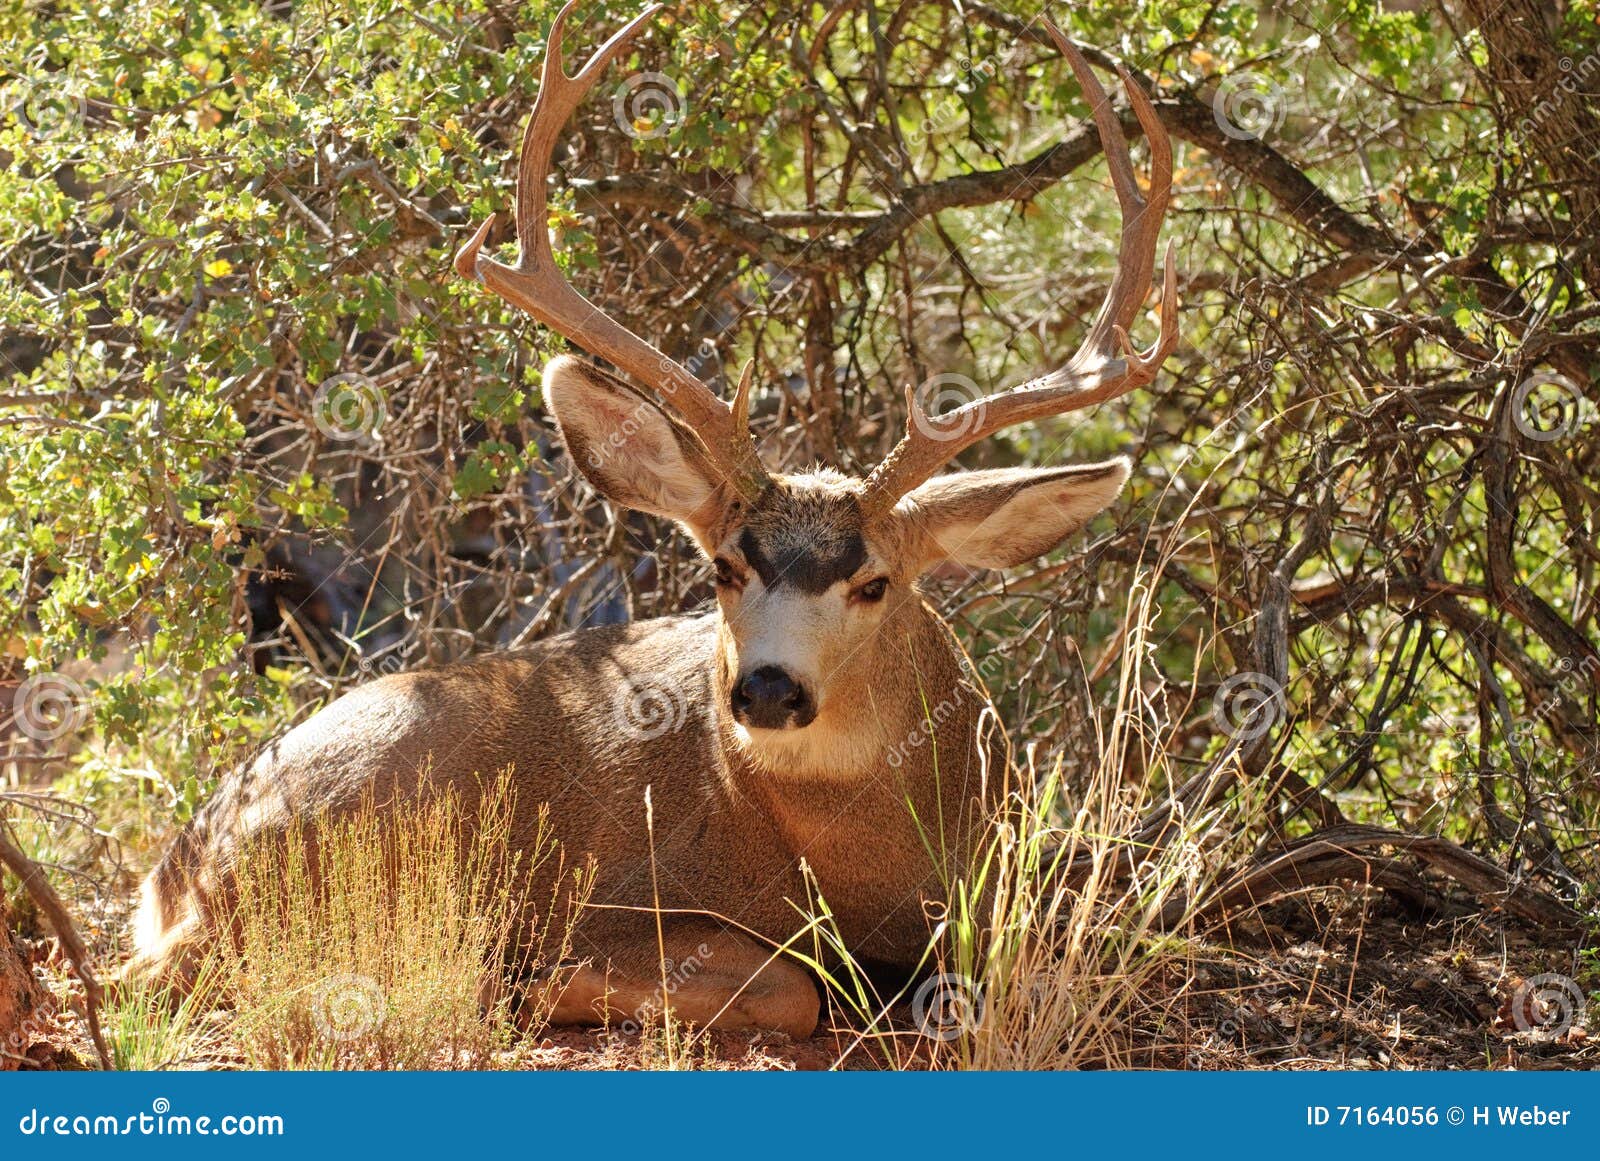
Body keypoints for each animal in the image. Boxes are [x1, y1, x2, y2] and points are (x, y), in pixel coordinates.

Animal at [124, 3, 1176, 1039]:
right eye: (722, 569)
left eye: (875, 581)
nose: (766, 690)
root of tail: (178, 861)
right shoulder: (625, 894)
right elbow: (790, 989)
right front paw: (537, 981)